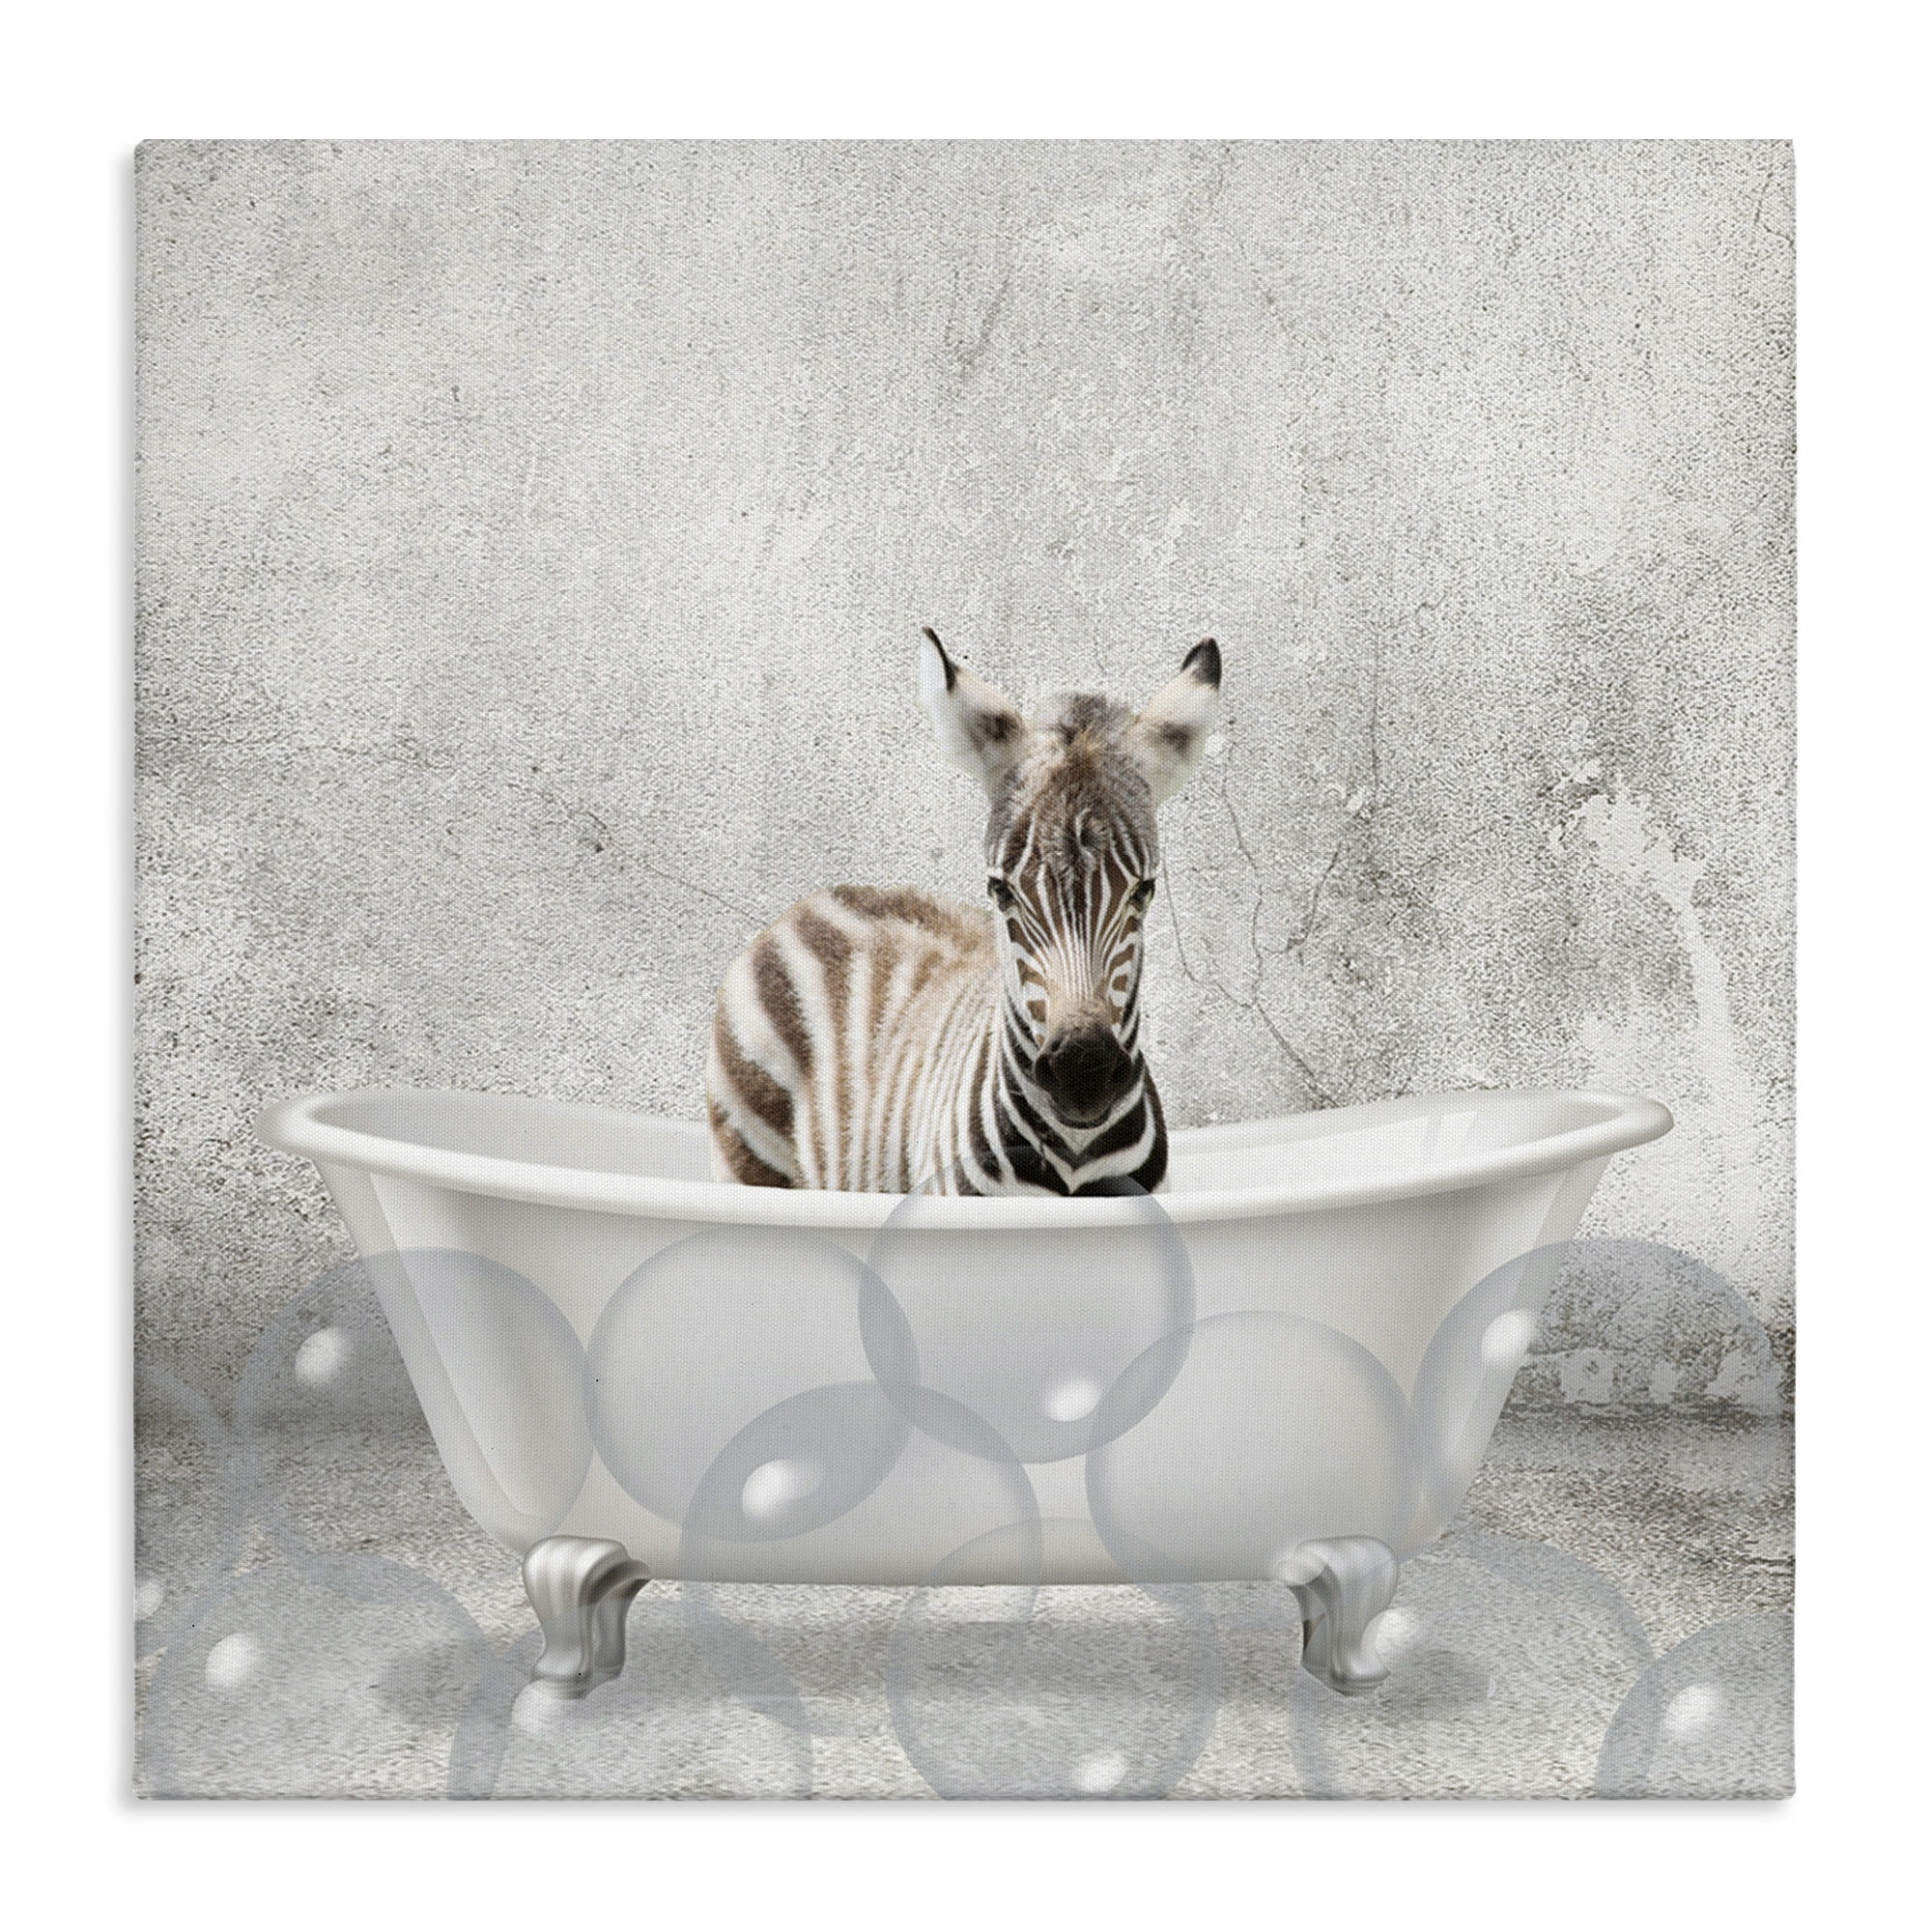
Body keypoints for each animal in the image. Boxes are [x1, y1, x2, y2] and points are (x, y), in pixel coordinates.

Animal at [705, 630, 1221, 1196]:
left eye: (1144, 891)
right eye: (1000, 890)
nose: (1081, 1074)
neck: (1074, 1153)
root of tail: (814, 899)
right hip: (749, 1155)